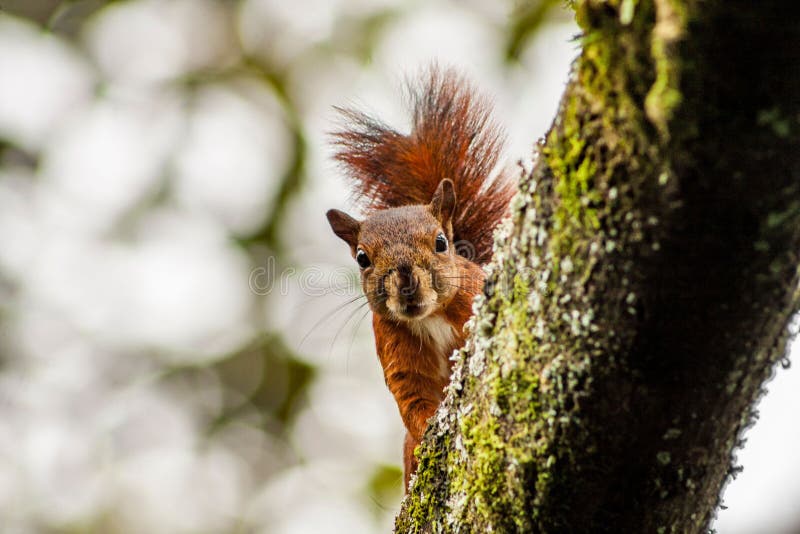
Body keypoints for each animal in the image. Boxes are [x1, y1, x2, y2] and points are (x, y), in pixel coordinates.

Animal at [326, 67, 516, 491]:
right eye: (362, 257)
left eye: (441, 242)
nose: (407, 281)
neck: (429, 317)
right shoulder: (396, 353)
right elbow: (412, 402)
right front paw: (428, 433)